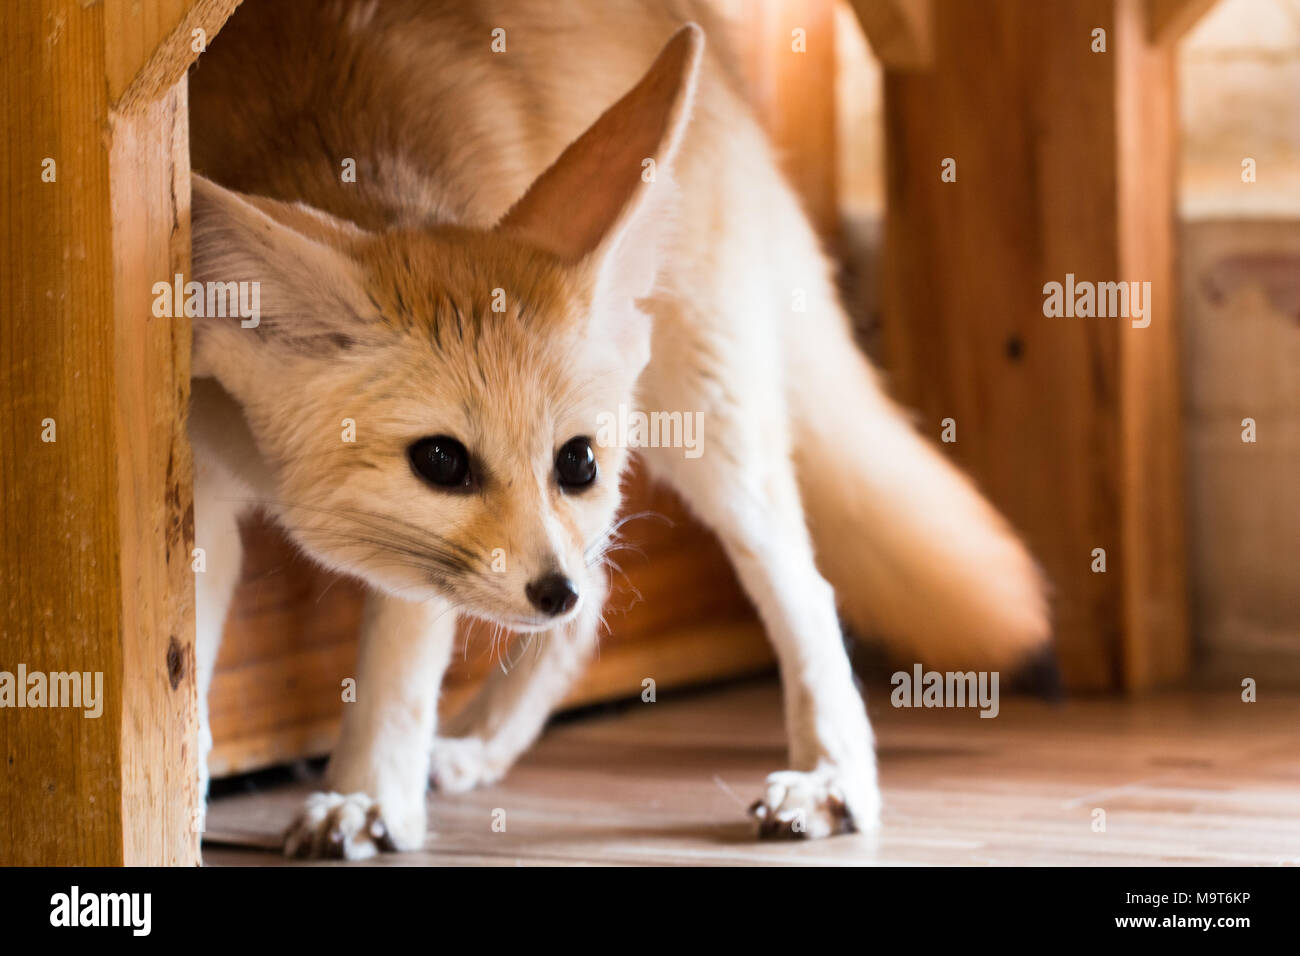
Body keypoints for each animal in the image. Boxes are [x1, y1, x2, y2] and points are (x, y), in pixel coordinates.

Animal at [187, 0, 1051, 859]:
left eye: (576, 461)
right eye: (441, 460)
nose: (551, 592)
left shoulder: (431, 567)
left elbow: (396, 673)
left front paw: (364, 797)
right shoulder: (196, 504)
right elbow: (183, 687)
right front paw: (178, 798)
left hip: (712, 425)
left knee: (796, 584)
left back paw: (830, 776)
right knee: (601, 600)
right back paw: (479, 742)